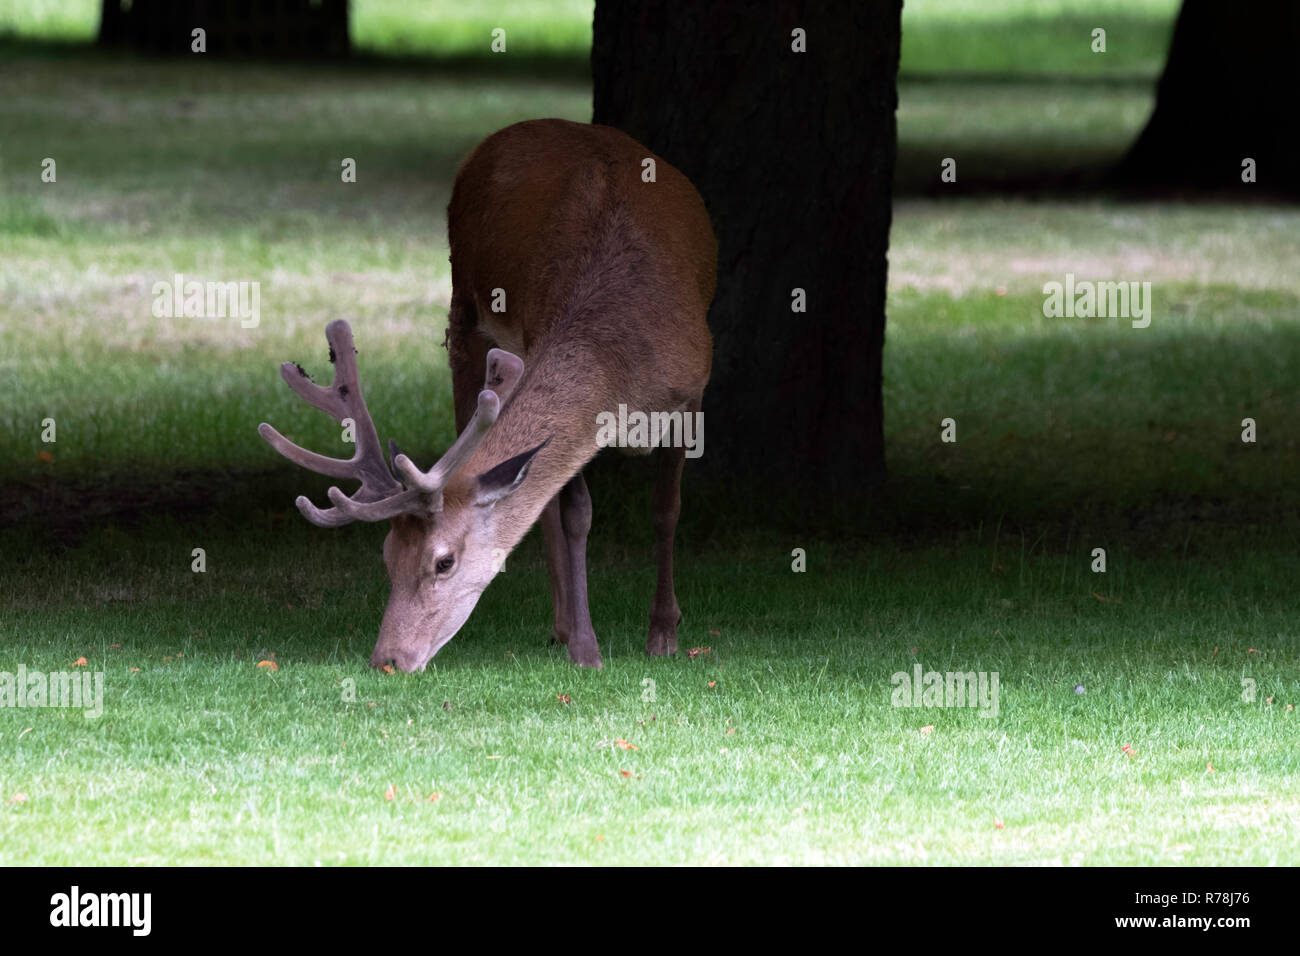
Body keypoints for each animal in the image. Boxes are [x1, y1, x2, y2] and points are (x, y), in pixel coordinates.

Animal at [258, 118, 717, 672]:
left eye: (443, 561)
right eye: (387, 555)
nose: (387, 659)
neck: (625, 359)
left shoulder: (693, 390)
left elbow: (666, 508)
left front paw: (663, 634)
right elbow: (576, 513)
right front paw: (586, 647)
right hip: (465, 310)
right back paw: (562, 624)